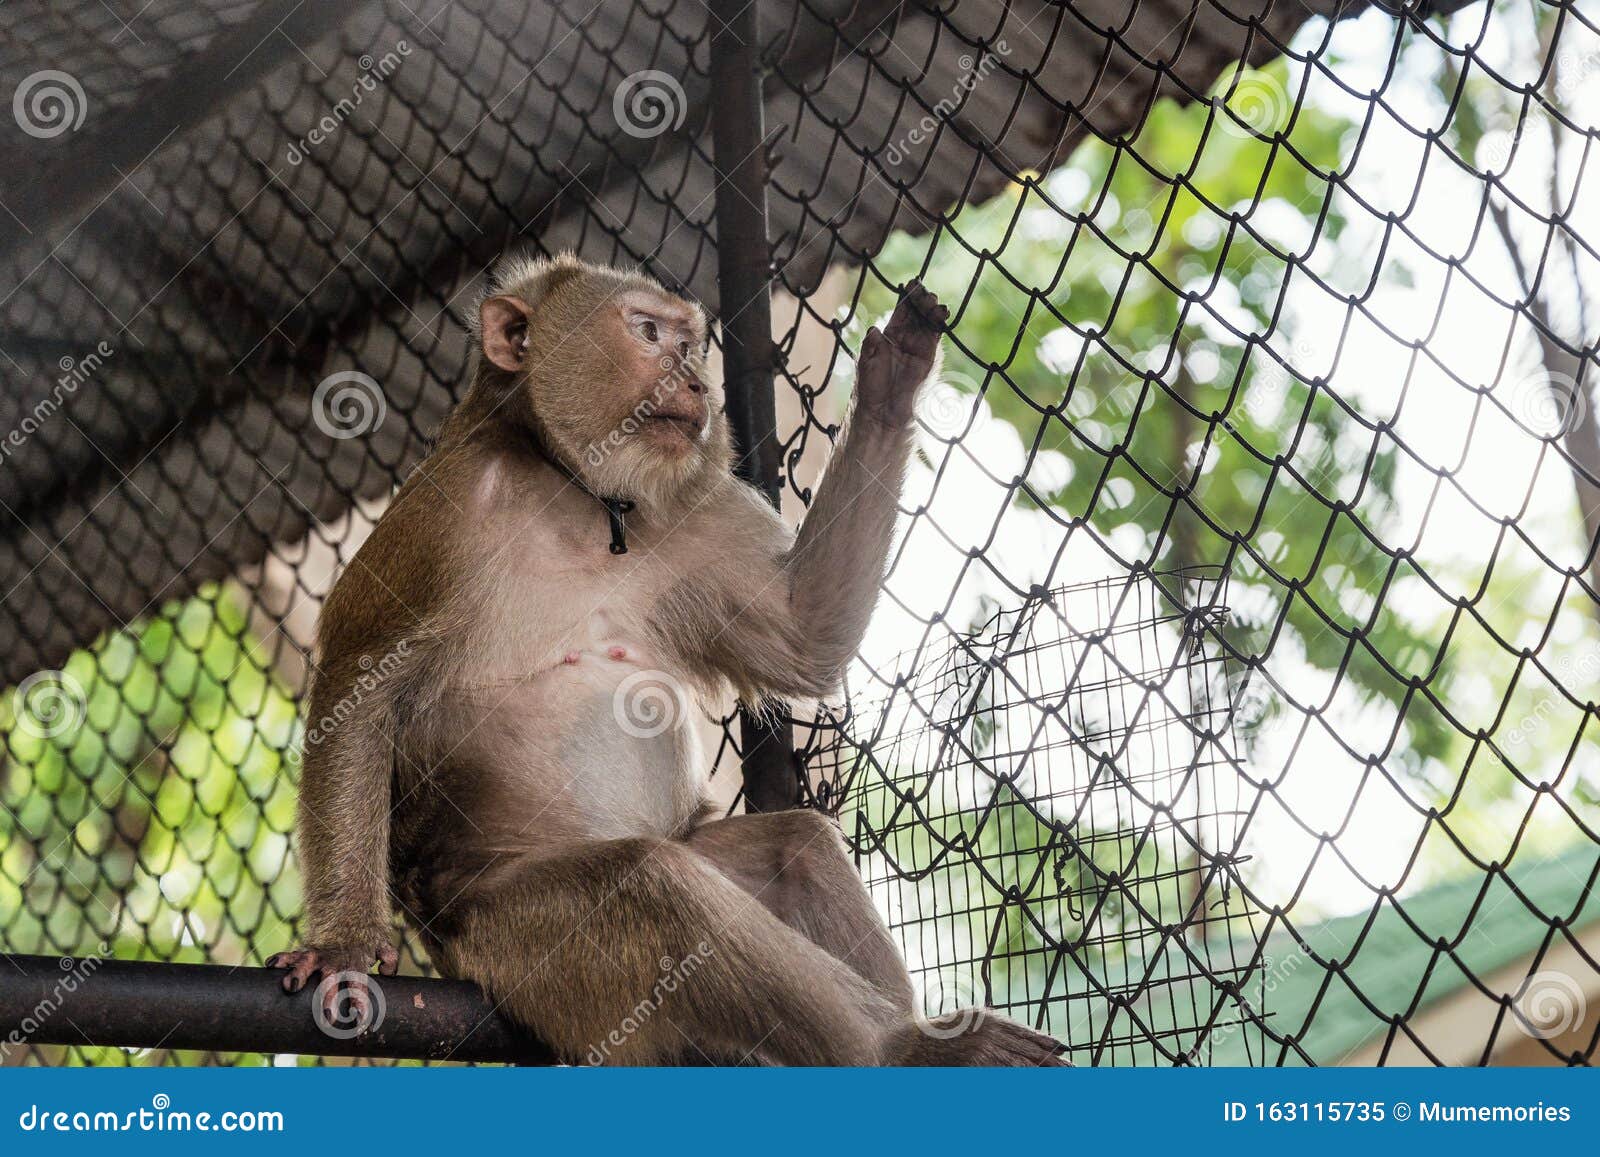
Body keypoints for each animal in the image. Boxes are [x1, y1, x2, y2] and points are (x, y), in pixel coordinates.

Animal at [268, 253, 1068, 1066]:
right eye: (648, 333)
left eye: (689, 343)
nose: (695, 382)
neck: (574, 492)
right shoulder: (444, 513)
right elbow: (358, 685)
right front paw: (345, 947)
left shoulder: (692, 510)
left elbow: (802, 637)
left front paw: (890, 384)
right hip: (520, 942)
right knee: (649, 883)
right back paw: (902, 1050)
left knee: (794, 847)